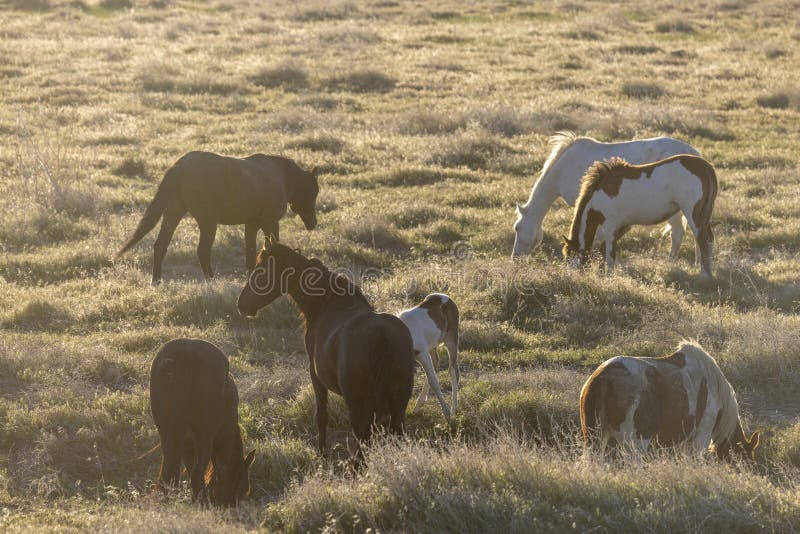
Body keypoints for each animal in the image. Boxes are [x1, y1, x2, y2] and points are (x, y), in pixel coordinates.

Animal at [117, 151, 319, 285]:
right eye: (313, 192)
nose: (313, 223)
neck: (284, 178)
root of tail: (179, 167)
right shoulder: (270, 222)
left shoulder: (251, 223)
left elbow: (250, 253)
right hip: (207, 221)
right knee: (202, 250)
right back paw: (210, 280)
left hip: (174, 212)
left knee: (161, 245)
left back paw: (156, 280)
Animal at [150, 338, 256, 506]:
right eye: (241, 487)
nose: (229, 504)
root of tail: (183, 358)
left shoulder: (187, 443)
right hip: (204, 434)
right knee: (196, 471)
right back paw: (201, 502)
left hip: (167, 430)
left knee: (170, 469)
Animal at [236, 240, 414, 464]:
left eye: (261, 269)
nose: (241, 304)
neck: (328, 304)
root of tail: (382, 336)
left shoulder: (316, 377)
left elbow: (321, 416)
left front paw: (322, 454)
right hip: (398, 406)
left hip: (359, 407)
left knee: (362, 441)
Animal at [397, 293, 460, 424]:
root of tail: (446, 297)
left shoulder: (422, 352)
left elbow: (433, 380)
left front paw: (447, 415)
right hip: (432, 346)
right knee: (436, 361)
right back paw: (418, 406)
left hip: (451, 339)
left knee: (453, 370)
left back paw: (453, 411)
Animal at [562, 155, 717, 277]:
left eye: (570, 255)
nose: (570, 275)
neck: (599, 193)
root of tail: (706, 166)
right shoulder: (623, 226)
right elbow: (603, 250)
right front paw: (601, 274)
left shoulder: (610, 226)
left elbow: (609, 255)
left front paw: (608, 276)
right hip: (705, 214)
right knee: (708, 239)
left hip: (693, 213)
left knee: (701, 240)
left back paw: (704, 275)